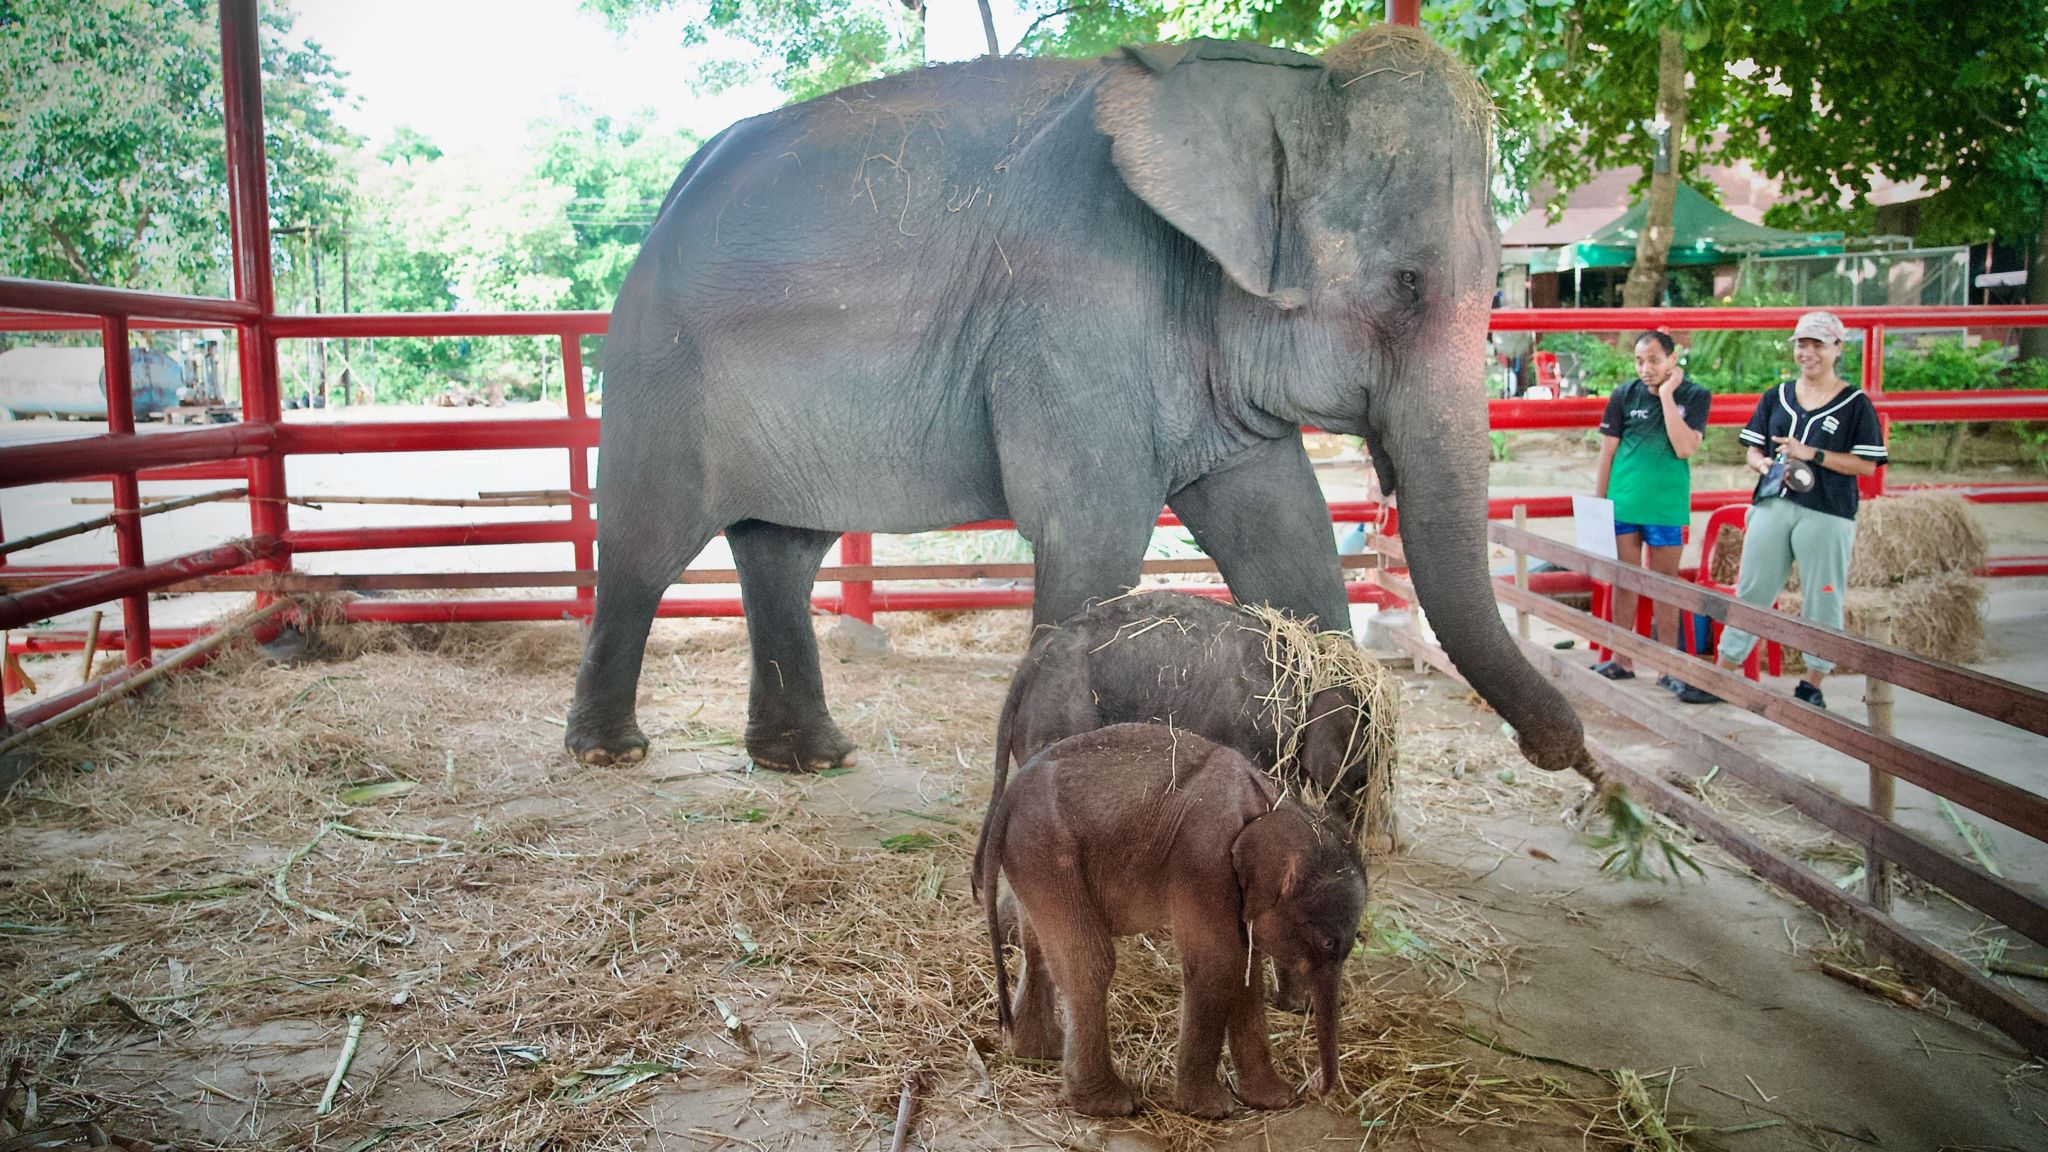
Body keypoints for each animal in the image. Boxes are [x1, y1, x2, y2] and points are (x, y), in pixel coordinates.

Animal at [564, 25, 1592, 783]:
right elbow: (1091, 533)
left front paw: (1333, 798)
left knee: (781, 549)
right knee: (648, 546)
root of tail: (673, 191)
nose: (1571, 757)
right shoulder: (1074, 310)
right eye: (1406, 286)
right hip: (657, 373)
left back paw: (810, 760)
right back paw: (612, 751)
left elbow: (1286, 530)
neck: (1276, 79)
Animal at [979, 723, 1367, 1117]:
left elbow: (1246, 972)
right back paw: (1112, 1103)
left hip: (1030, 855)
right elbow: (1219, 965)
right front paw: (1213, 1110)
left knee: (1037, 944)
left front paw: (1275, 1100)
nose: (1315, 1089)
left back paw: (1040, 1053)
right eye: (1328, 942)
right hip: (1047, 849)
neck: (1273, 804)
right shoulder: (1205, 859)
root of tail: (1006, 800)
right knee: (1090, 962)